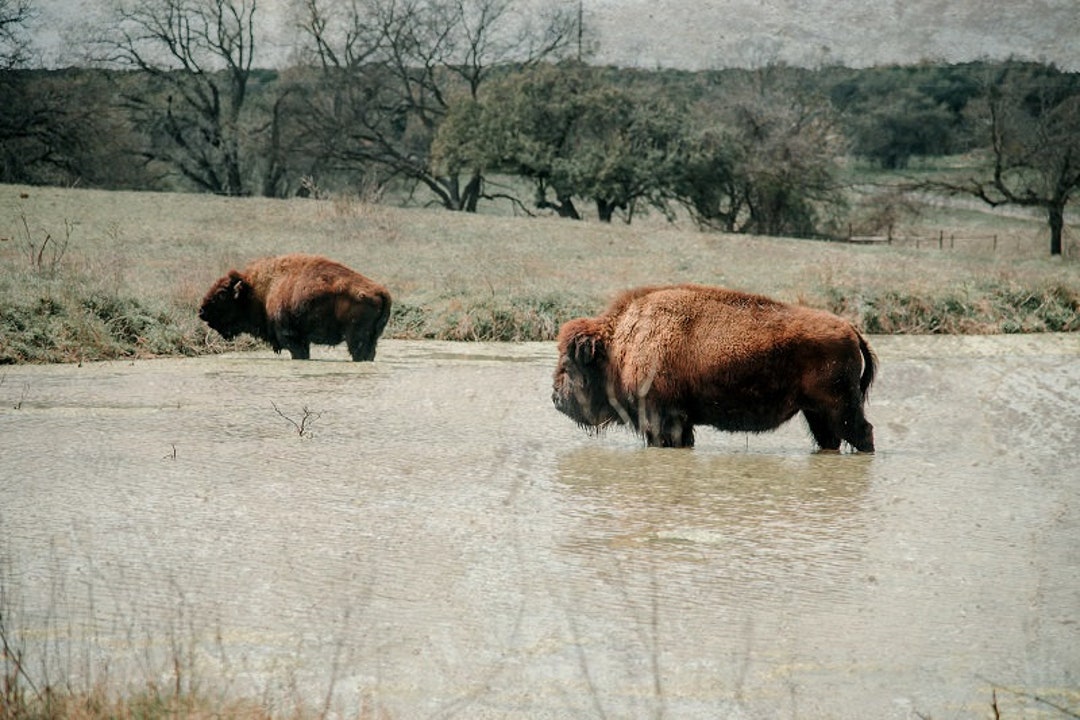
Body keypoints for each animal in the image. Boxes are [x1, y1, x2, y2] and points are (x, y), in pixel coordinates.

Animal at [199, 253, 391, 361]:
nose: (201, 311)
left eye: (222, 293)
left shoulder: (291, 338)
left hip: (356, 339)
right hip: (372, 338)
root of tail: (381, 291)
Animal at [552, 284, 876, 452]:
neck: (619, 343)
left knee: (863, 432)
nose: (555, 397)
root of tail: (852, 330)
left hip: (839, 408)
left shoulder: (662, 418)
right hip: (816, 413)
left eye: (567, 364)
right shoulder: (680, 421)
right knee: (830, 439)